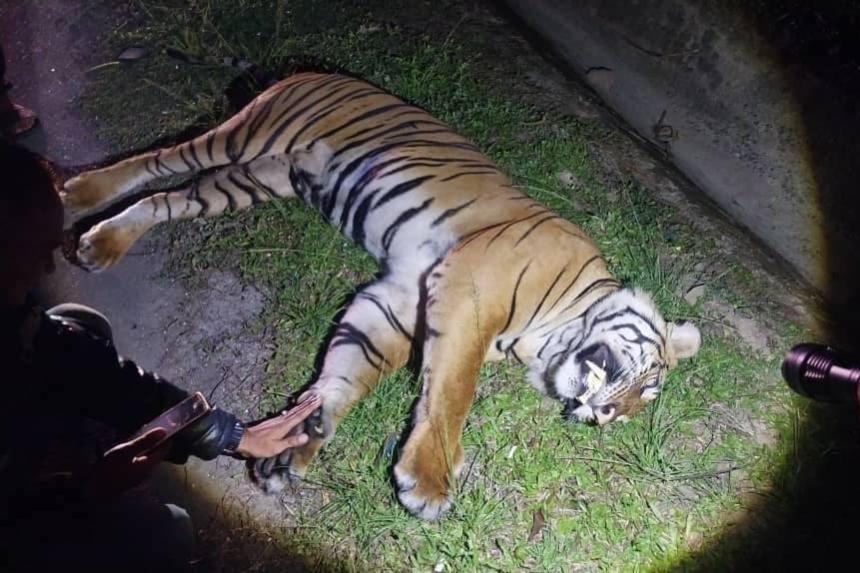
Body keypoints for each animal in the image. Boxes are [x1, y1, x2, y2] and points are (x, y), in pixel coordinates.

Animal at [61, 71, 701, 521]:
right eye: (647, 384)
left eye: (635, 410)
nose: (604, 415)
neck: (544, 338)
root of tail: (320, 71)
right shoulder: (467, 292)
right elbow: (453, 391)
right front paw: (430, 480)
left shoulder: (394, 304)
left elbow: (347, 373)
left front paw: (296, 446)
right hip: (244, 135)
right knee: (157, 160)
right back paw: (78, 192)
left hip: (253, 180)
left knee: (167, 200)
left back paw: (102, 242)